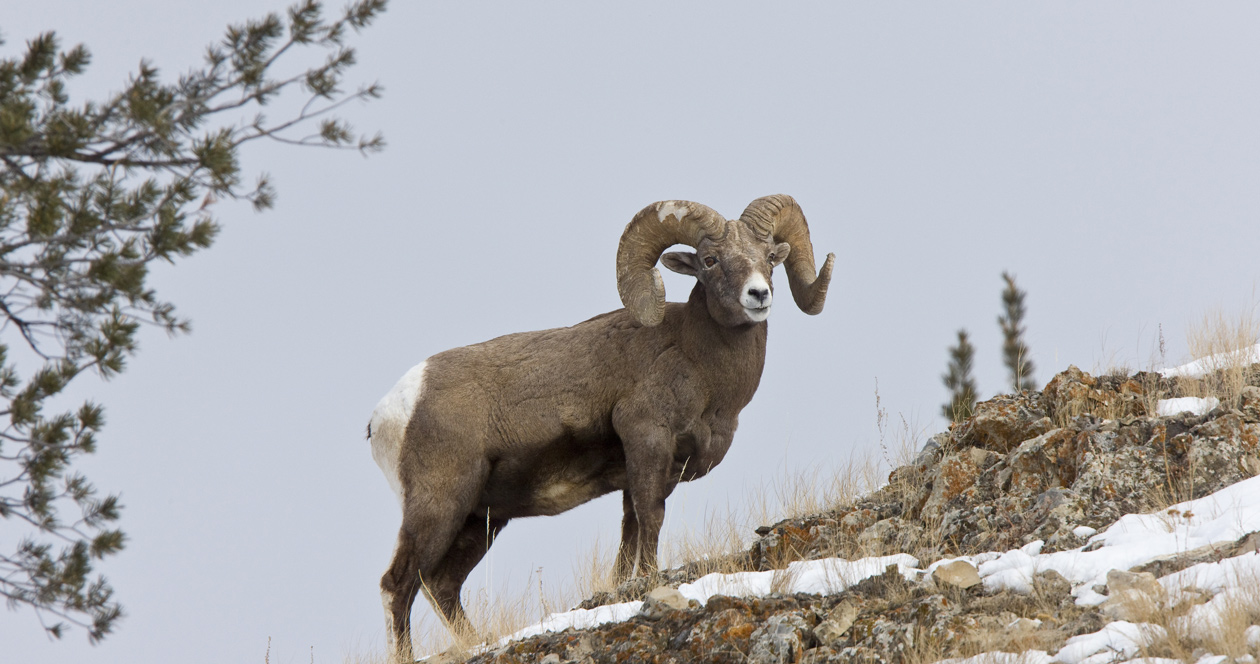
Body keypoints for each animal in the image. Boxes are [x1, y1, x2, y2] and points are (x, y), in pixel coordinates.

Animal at [367, 194, 835, 660]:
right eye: (710, 259)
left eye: (769, 258)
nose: (759, 294)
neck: (695, 362)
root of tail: (387, 414)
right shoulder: (648, 440)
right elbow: (650, 519)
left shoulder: (646, 470)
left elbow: (630, 534)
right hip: (439, 504)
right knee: (398, 584)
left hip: (479, 519)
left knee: (441, 585)